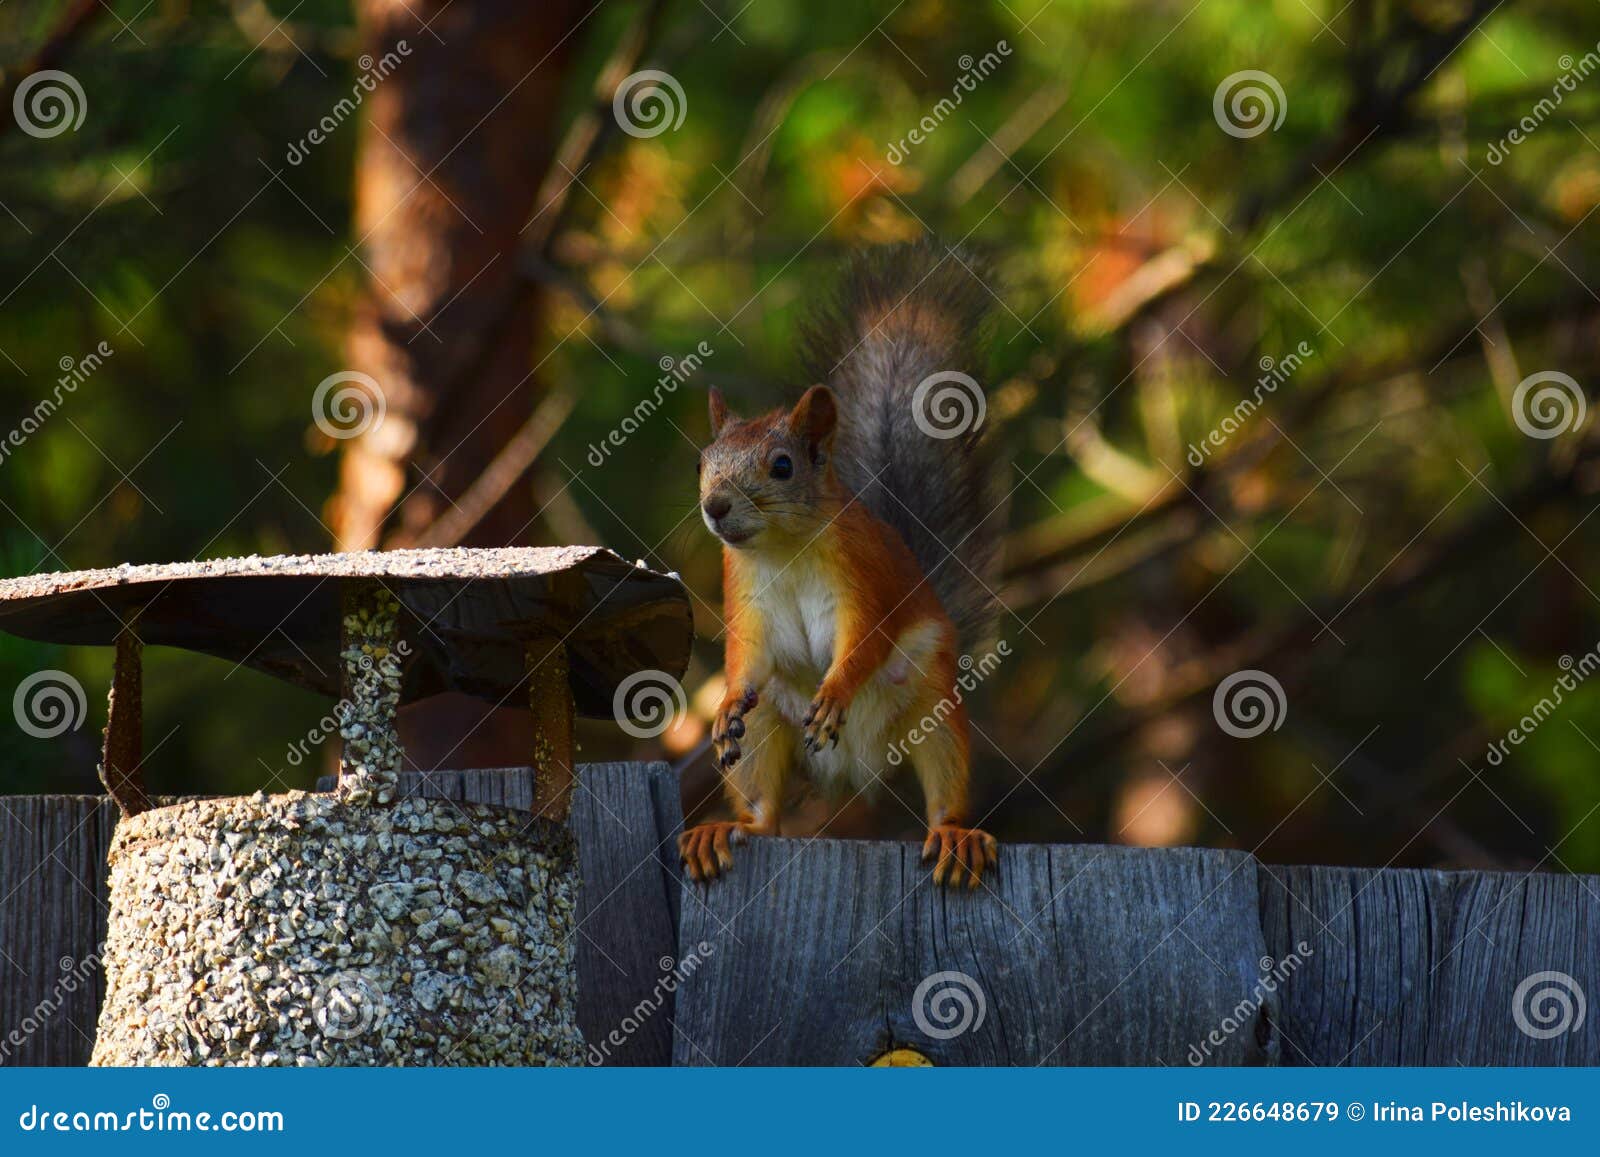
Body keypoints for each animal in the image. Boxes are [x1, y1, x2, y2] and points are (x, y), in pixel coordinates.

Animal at [679, 241, 1003, 888]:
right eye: (703, 462)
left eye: (782, 466)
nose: (715, 506)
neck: (782, 548)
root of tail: (860, 769)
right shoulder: (742, 592)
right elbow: (745, 655)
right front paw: (725, 701)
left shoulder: (864, 577)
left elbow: (865, 639)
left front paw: (834, 692)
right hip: (764, 731)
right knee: (763, 805)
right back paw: (727, 830)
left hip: (932, 709)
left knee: (944, 785)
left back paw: (955, 836)